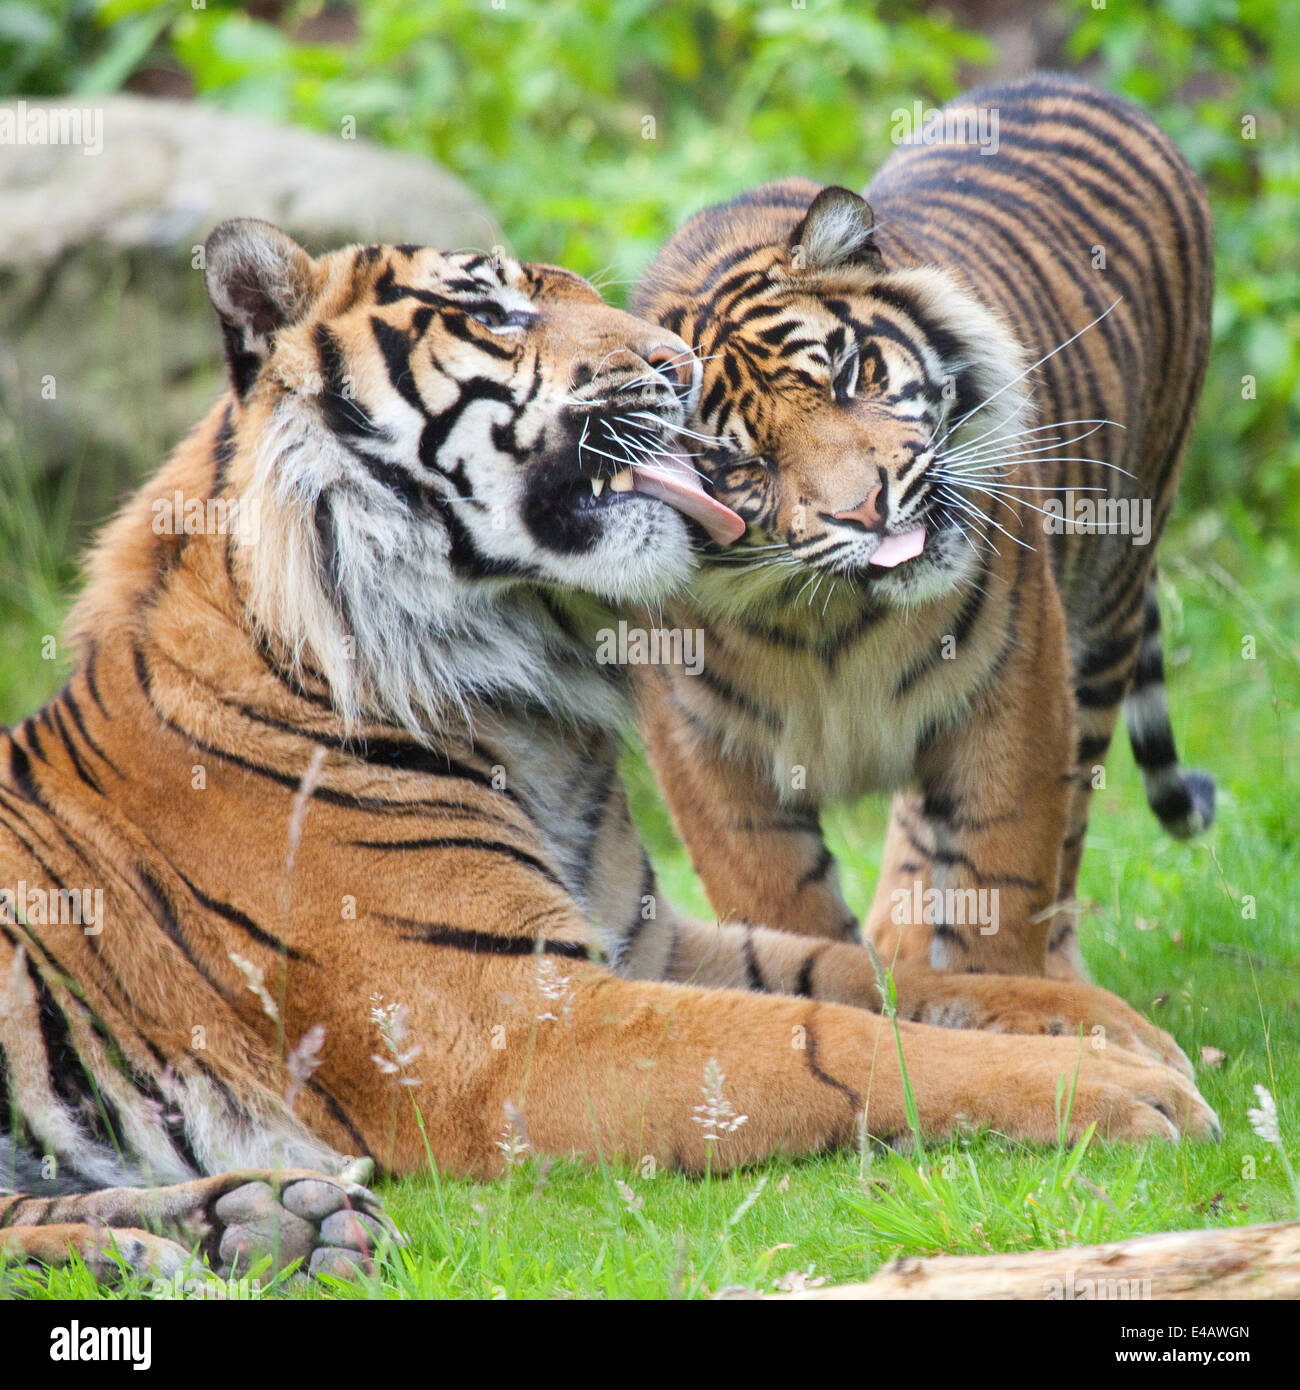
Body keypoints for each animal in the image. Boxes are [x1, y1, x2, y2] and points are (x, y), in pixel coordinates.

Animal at [1, 213, 1216, 1283]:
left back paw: (275, 1223)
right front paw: (1111, 1088)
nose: (679, 364)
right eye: (494, 311)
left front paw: (1110, 1028)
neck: (518, 690)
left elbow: (867, 973)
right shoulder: (507, 1031)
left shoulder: (639, 940)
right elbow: (821, 1037)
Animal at [630, 73, 1216, 991]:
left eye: (846, 374)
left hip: (1113, 595)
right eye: (744, 465)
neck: (829, 622)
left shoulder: (1017, 686)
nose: (869, 507)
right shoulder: (703, 748)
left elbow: (1001, 877)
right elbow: (780, 906)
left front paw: (1010, 1001)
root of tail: (1065, 80)